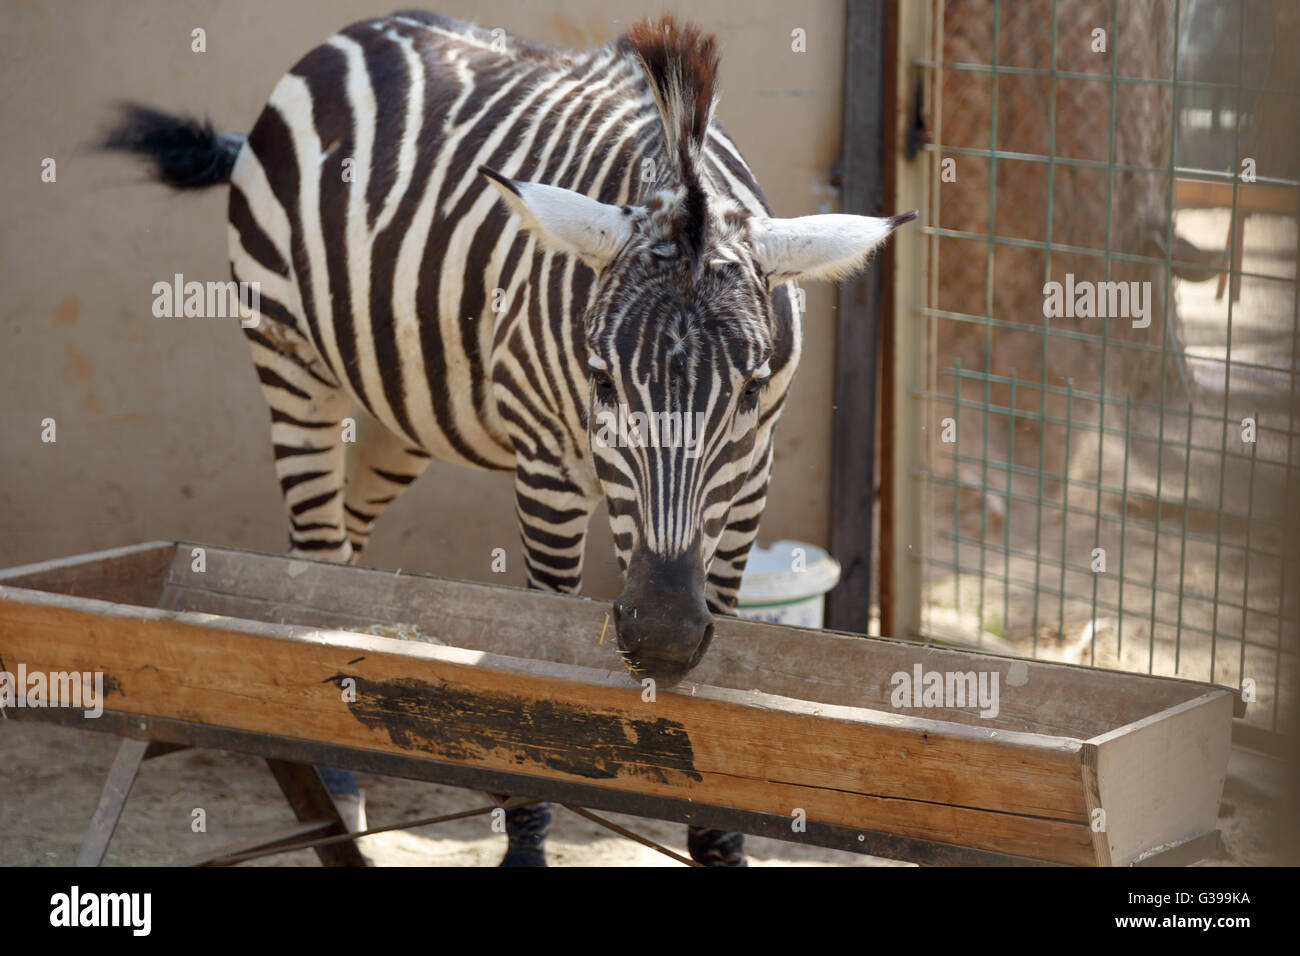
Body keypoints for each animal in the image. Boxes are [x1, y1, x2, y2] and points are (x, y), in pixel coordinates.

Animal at [101, 10, 914, 866]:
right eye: (601, 380)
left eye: (750, 390)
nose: (660, 638)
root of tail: (358, 31)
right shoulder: (550, 467)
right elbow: (541, 650)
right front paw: (525, 833)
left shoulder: (751, 473)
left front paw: (720, 839)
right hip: (291, 363)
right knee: (316, 547)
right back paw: (341, 787)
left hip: (400, 417)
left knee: (340, 551)